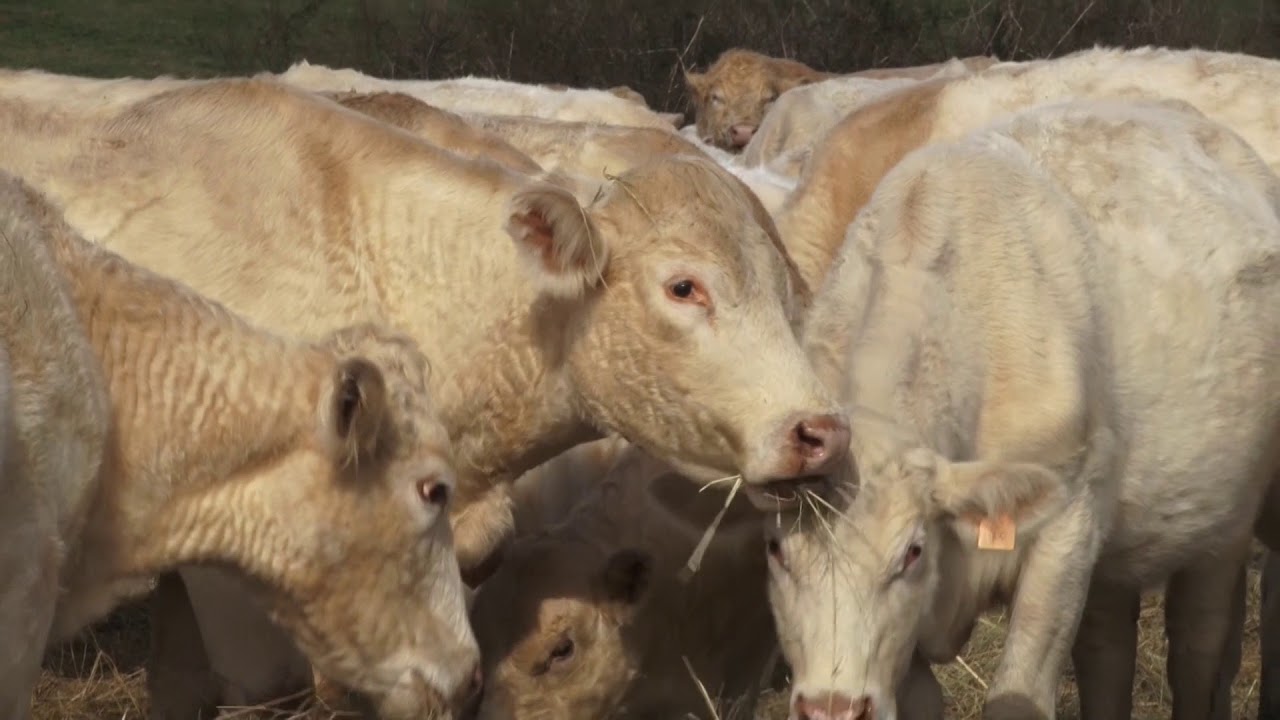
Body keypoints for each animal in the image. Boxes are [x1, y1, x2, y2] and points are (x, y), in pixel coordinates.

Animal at [758, 98, 1280, 720]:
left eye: (910, 553)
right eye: (776, 551)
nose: (831, 708)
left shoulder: (1067, 527)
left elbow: (1018, 693)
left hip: (1224, 526)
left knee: (1199, 646)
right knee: (1108, 650)